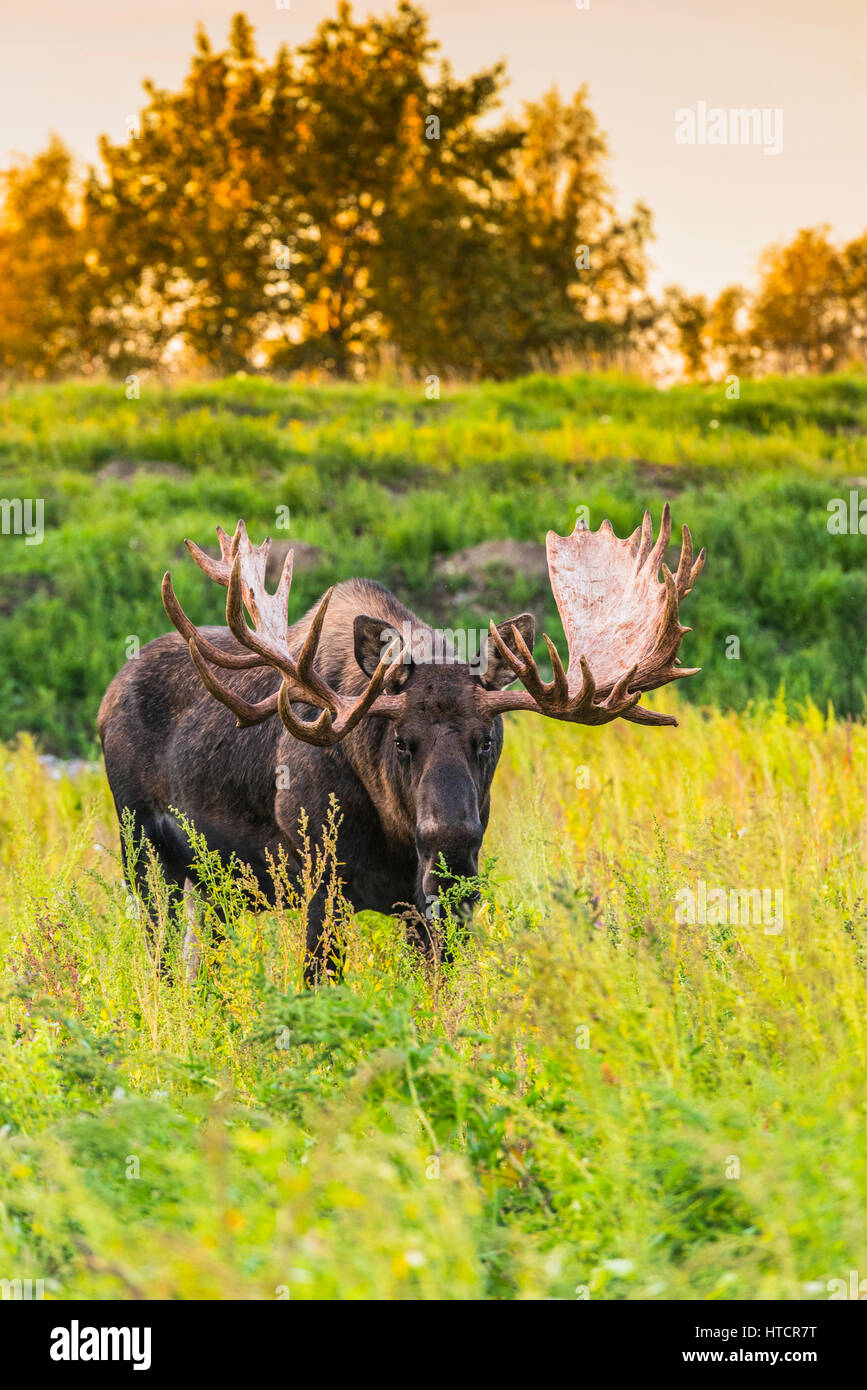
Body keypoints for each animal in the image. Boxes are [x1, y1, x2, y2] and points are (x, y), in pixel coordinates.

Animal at [98, 506, 705, 983]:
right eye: (402, 742)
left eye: (486, 740)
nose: (451, 846)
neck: (393, 830)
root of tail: (106, 698)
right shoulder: (324, 886)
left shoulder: (434, 910)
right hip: (143, 855)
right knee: (162, 957)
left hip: (215, 887)